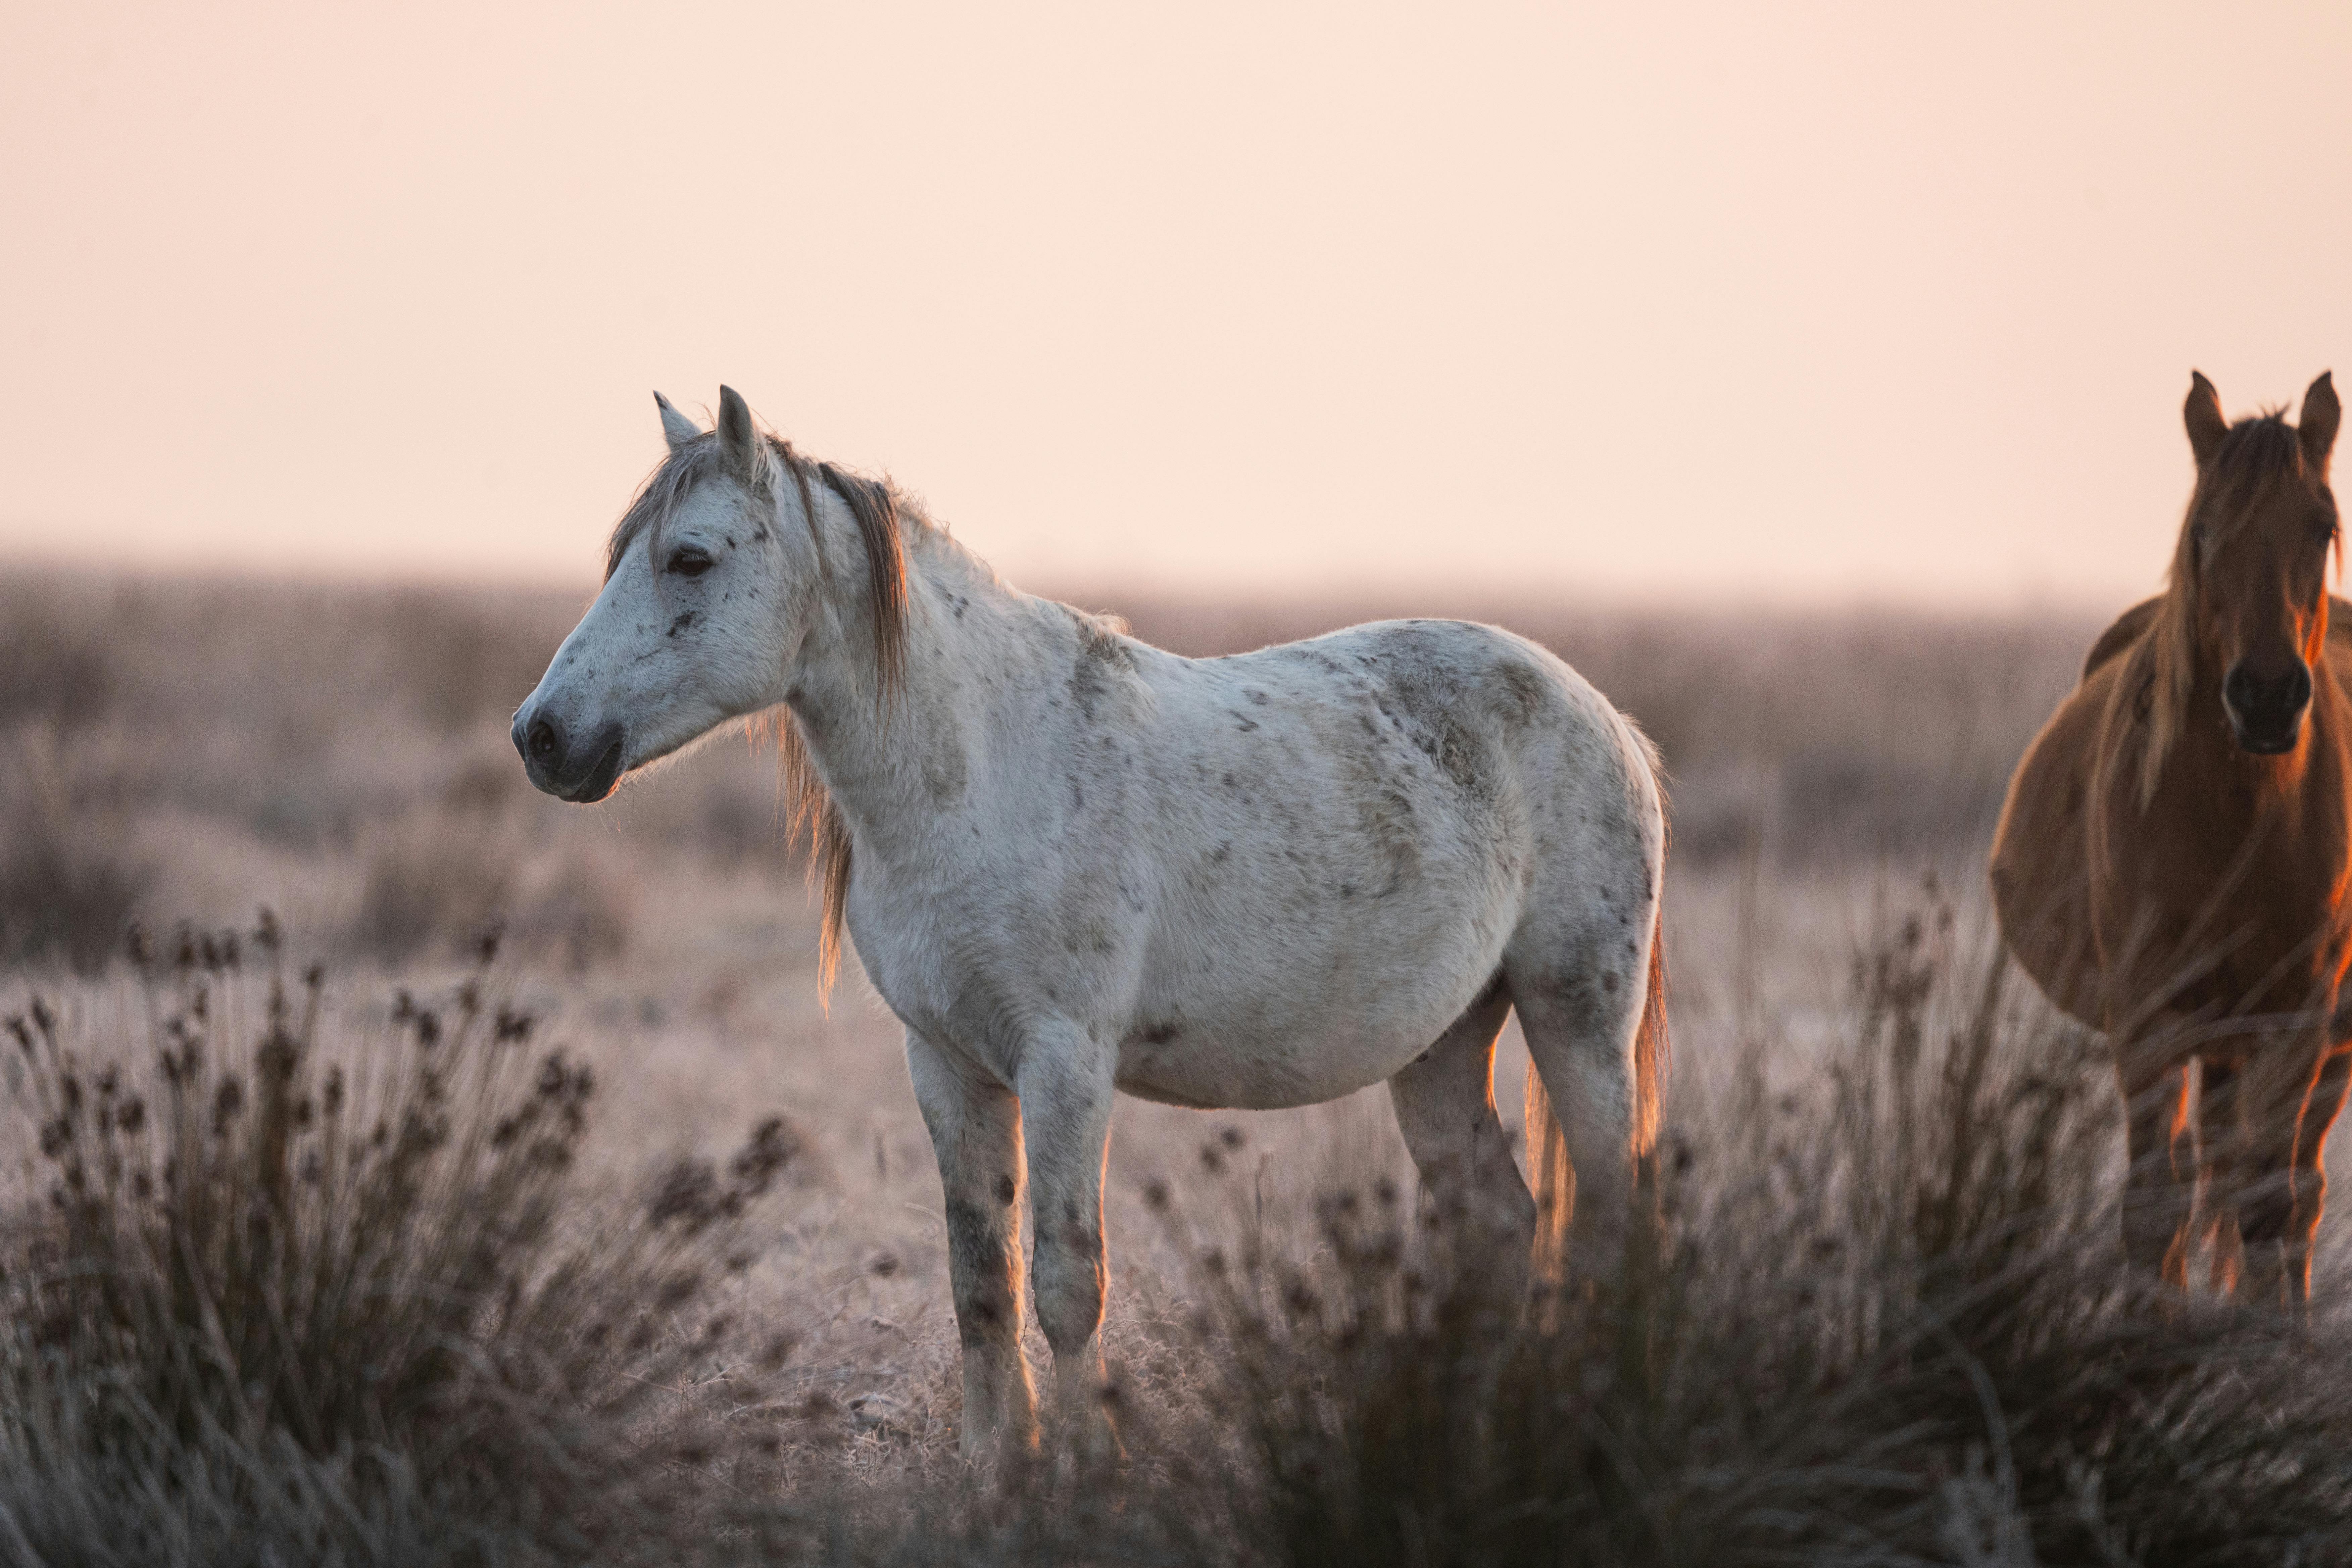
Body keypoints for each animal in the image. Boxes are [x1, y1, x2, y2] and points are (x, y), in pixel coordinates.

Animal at [513, 387, 1670, 1463]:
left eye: (690, 559)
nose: (543, 736)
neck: (981, 766)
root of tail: (1603, 716)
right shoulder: (947, 1062)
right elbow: (980, 1279)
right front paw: (996, 1469)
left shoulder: (1065, 1061)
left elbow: (1068, 1284)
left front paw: (1086, 1473)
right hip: (1440, 1050)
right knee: (1500, 1226)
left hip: (1575, 1023)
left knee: (1606, 1220)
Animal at [1991, 370, 2347, 1307]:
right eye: (2202, 529)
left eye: (2323, 524)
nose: (2267, 695)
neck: (2241, 823)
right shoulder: (2149, 1014)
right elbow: (2156, 1209)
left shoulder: (2298, 1017)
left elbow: (2271, 1207)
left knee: (2292, 1190)